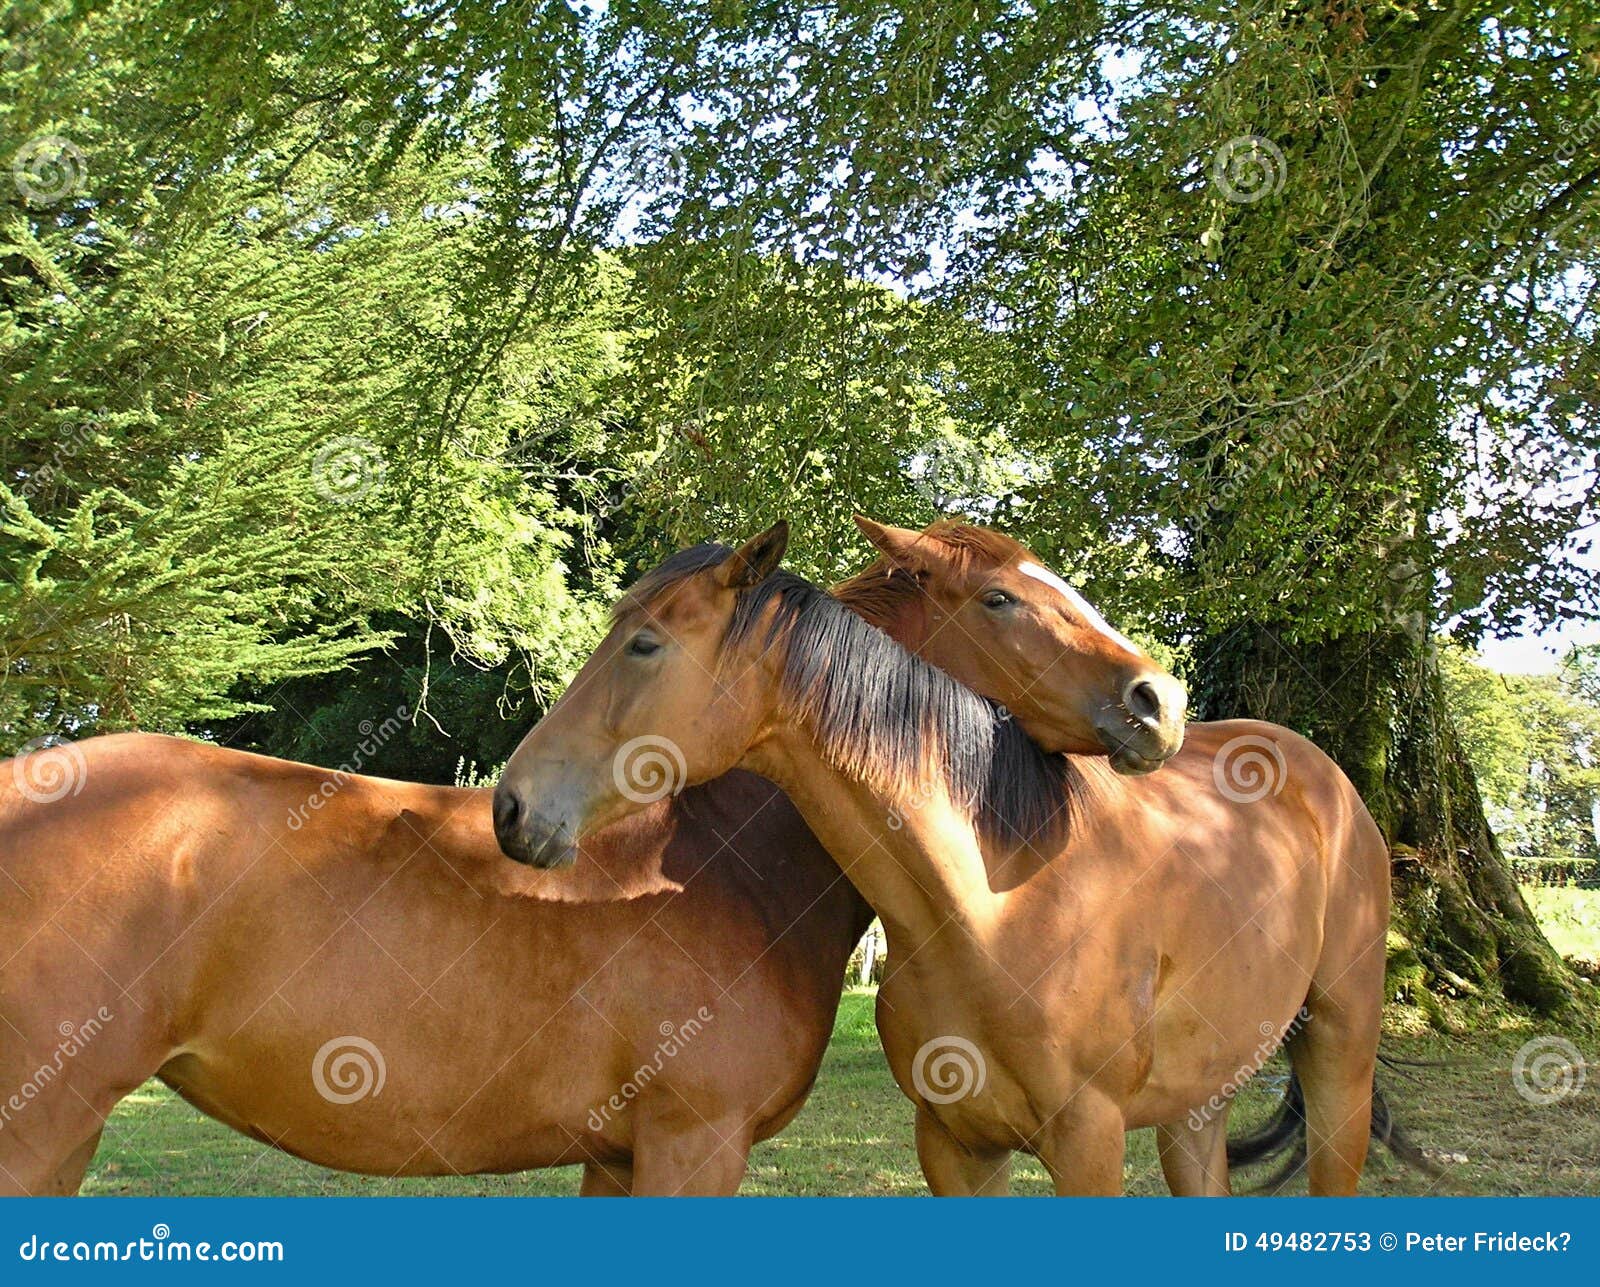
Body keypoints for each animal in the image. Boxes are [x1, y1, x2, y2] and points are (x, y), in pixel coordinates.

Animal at [0, 524, 1181, 1196]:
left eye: (644, 640)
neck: (717, 865)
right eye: (1003, 598)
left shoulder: (615, 1157)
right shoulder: (692, 1147)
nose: (1157, 700)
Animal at [494, 522, 1393, 1195]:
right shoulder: (957, 1146)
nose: (1159, 700)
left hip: (1337, 1065)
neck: (994, 909)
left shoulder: (1091, 1143)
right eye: (1001, 598)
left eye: (643, 645)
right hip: (1198, 1106)